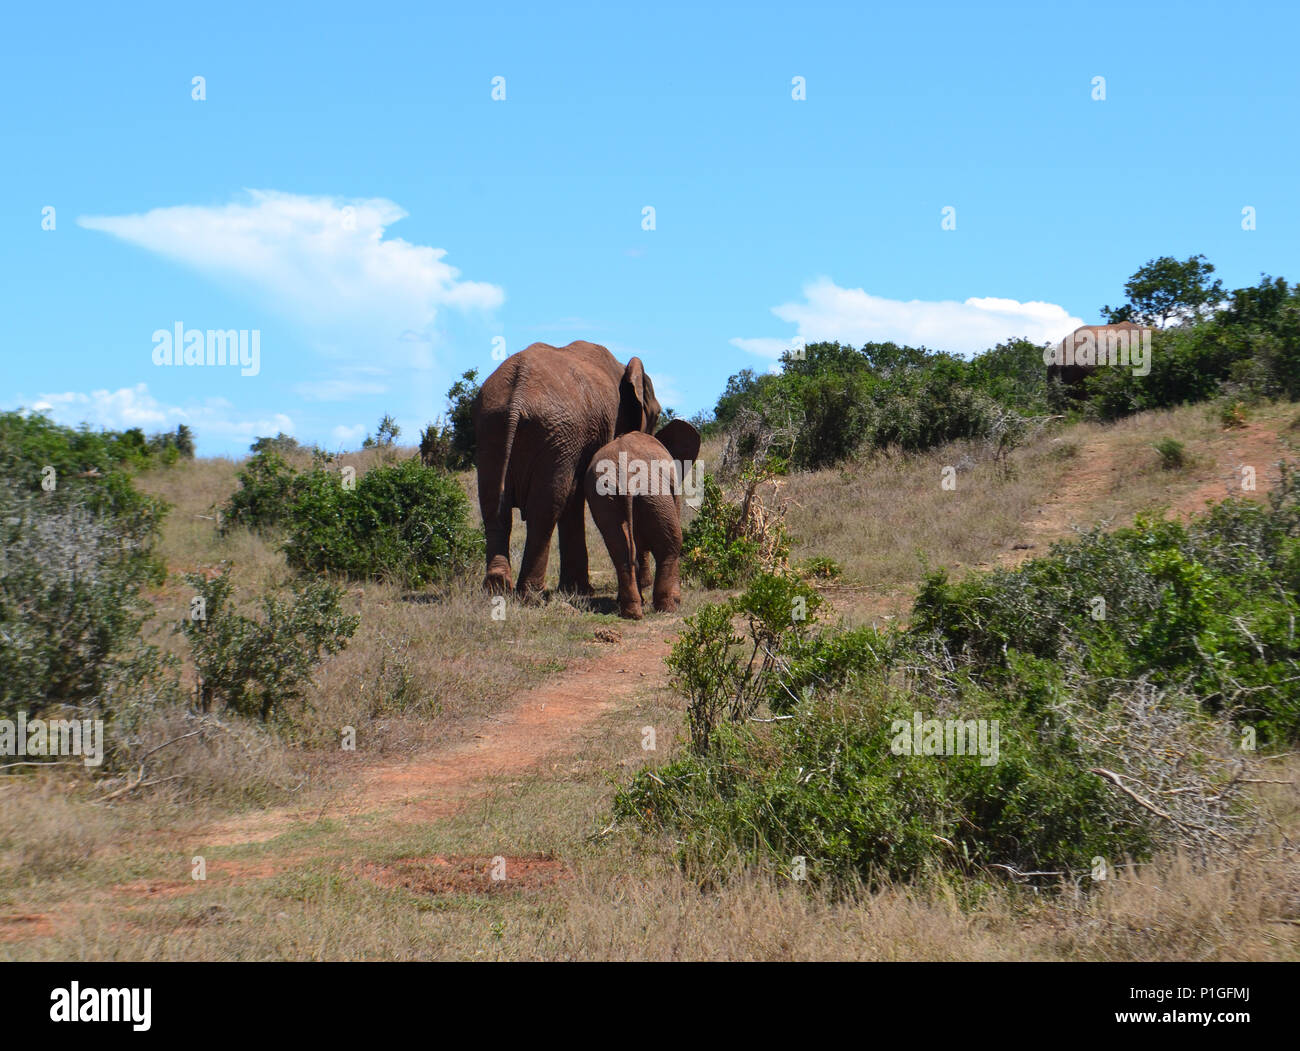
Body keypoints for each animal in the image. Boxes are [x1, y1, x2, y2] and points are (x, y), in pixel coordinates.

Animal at [472, 340, 663, 599]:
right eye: (658, 414)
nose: (645, 585)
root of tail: (517, 396)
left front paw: (575, 589)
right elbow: (576, 495)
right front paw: (580, 590)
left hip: (493, 427)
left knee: (493, 504)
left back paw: (496, 587)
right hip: (556, 433)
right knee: (547, 505)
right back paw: (532, 595)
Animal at [584, 419, 701, 619]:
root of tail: (624, 474)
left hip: (604, 495)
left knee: (619, 549)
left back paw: (632, 612)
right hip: (654, 491)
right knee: (671, 545)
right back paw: (668, 608)